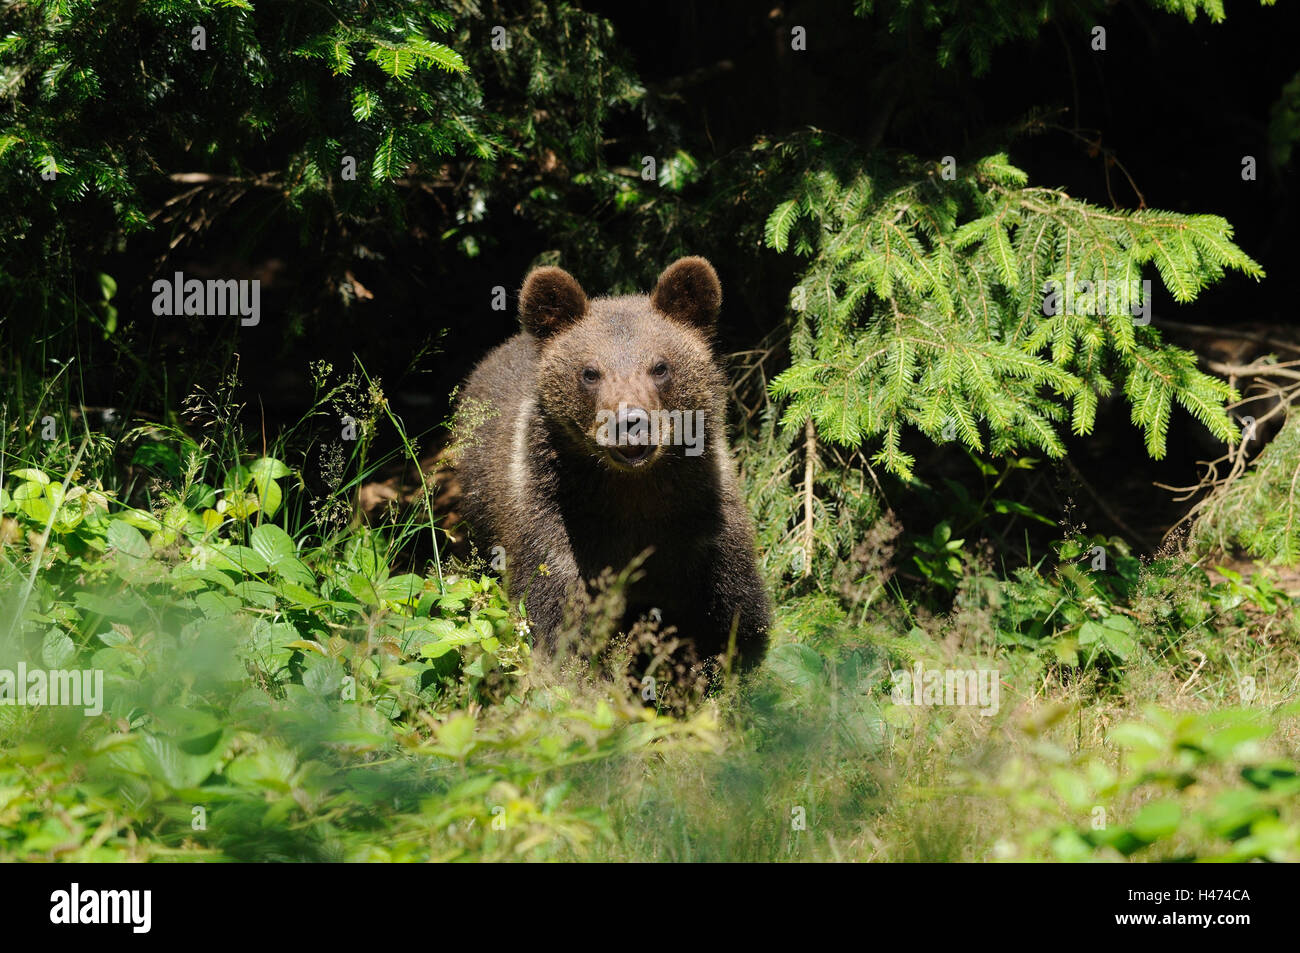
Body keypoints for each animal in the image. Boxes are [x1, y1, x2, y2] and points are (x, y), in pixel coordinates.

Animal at [453, 256, 770, 680]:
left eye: (660, 366)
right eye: (590, 372)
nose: (629, 422)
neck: (633, 492)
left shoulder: (705, 526)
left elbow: (736, 619)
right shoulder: (557, 522)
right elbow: (555, 619)